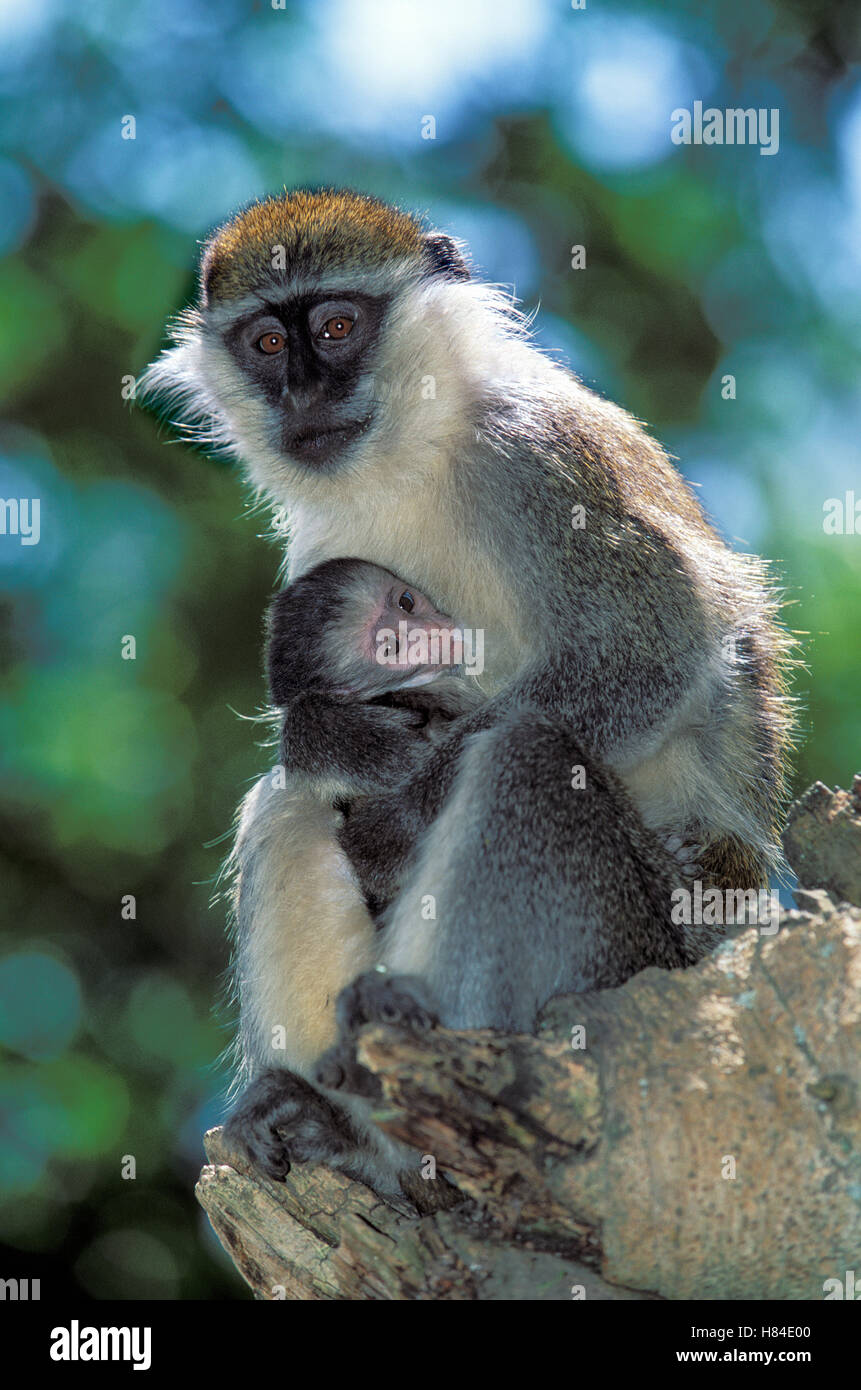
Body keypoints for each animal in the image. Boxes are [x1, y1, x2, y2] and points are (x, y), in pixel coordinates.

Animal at [142, 188, 795, 1192]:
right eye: (266, 343)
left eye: (336, 327)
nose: (303, 396)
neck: (411, 451)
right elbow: (309, 705)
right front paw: (335, 741)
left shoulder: (534, 456)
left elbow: (658, 647)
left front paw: (396, 816)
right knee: (286, 803)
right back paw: (334, 1123)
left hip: (632, 961)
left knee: (528, 756)